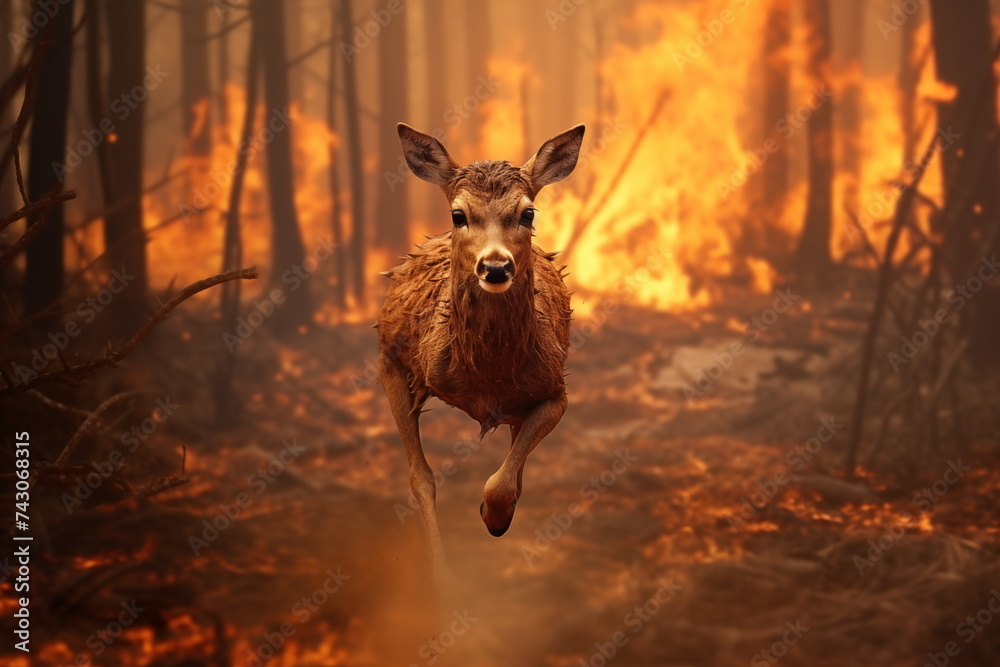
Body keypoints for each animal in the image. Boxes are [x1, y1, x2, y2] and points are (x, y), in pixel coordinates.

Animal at [377, 122, 585, 580]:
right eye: (458, 215)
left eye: (528, 213)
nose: (495, 267)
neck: (486, 376)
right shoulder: (392, 360)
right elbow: (421, 478)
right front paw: (443, 579)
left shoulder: (555, 391)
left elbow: (501, 482)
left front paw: (494, 517)